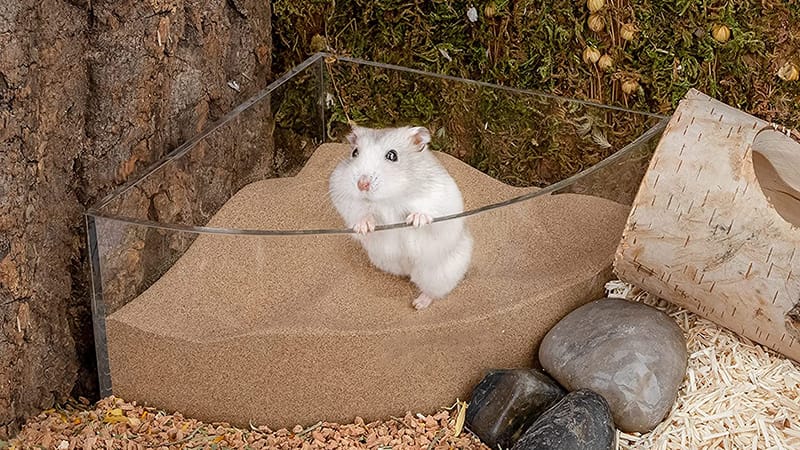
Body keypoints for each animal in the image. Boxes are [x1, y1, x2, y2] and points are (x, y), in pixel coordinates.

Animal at [329, 125, 474, 310]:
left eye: (392, 155)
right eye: (355, 153)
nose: (362, 184)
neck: (389, 199)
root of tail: (407, 270)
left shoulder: (440, 198)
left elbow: (429, 211)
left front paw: (416, 220)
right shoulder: (344, 197)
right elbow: (361, 213)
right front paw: (364, 227)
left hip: (438, 274)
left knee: (433, 291)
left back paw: (418, 305)